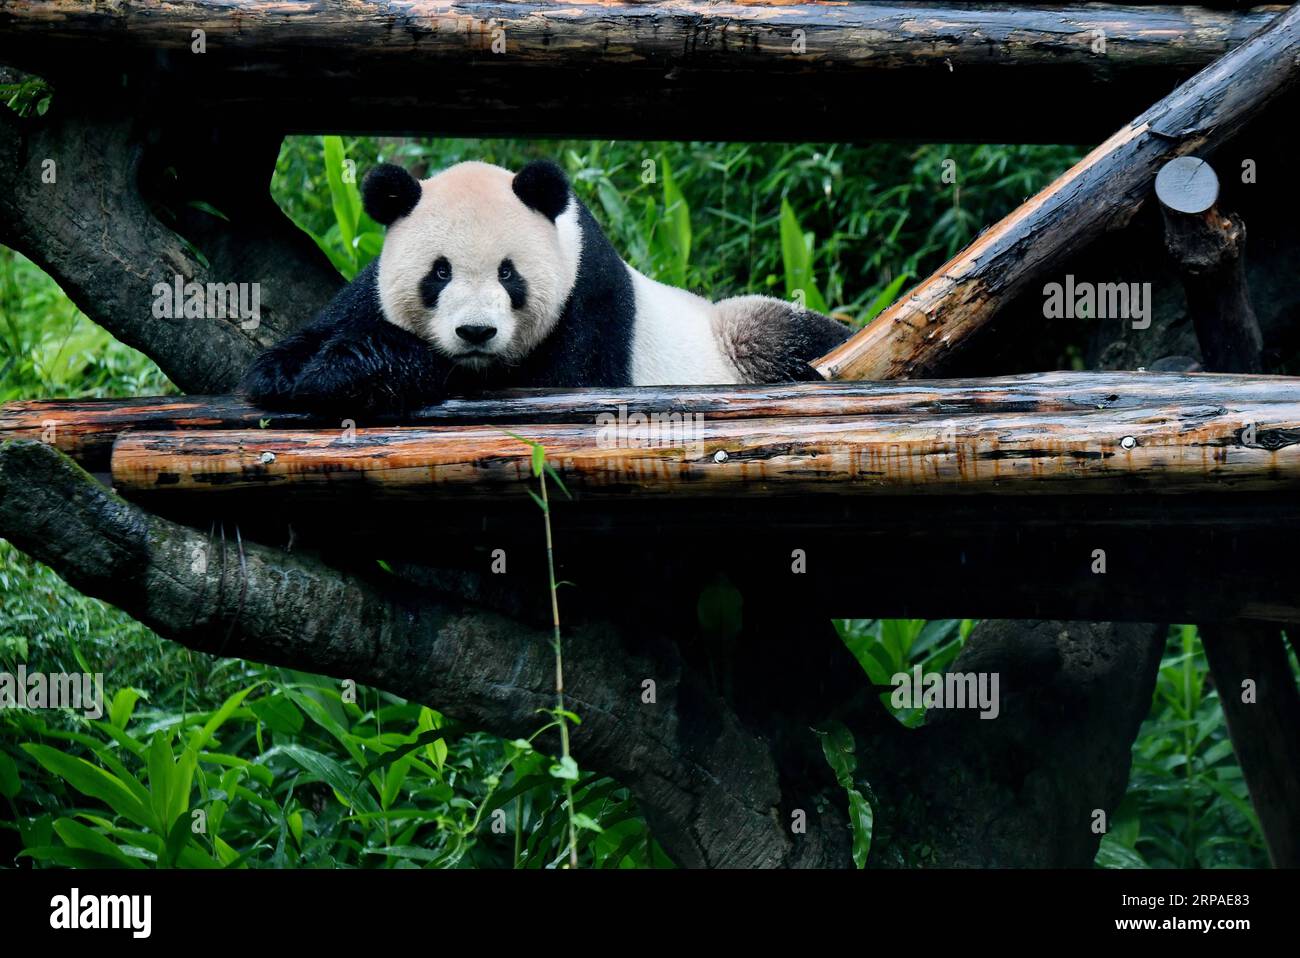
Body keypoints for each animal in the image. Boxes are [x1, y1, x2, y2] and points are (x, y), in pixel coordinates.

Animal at [240, 159, 851, 413]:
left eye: (509, 273)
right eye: (439, 272)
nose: (476, 332)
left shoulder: (591, 305)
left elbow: (554, 380)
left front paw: (348, 370)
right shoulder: (369, 290)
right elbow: (292, 348)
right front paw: (301, 369)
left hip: (739, 336)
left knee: (789, 336)